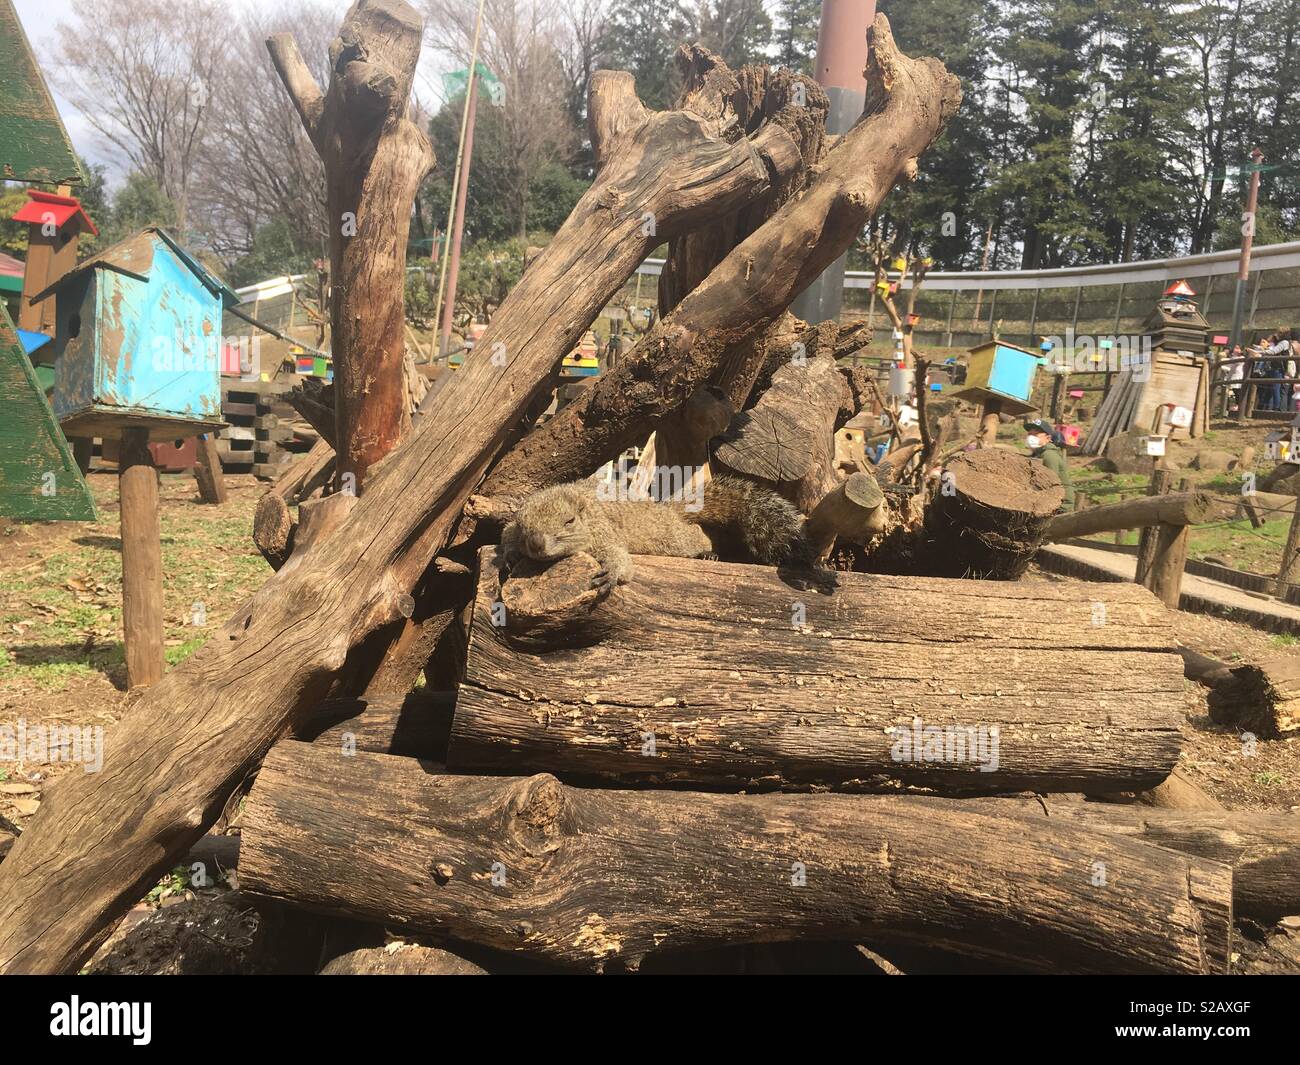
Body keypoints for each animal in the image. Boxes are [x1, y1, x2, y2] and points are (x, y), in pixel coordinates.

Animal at [500, 475, 818, 592]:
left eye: (569, 521)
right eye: (523, 523)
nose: (536, 544)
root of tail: (667, 511)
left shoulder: (603, 533)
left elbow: (617, 555)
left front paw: (612, 572)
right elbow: (505, 534)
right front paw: (509, 554)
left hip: (672, 538)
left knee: (698, 534)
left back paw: (709, 552)